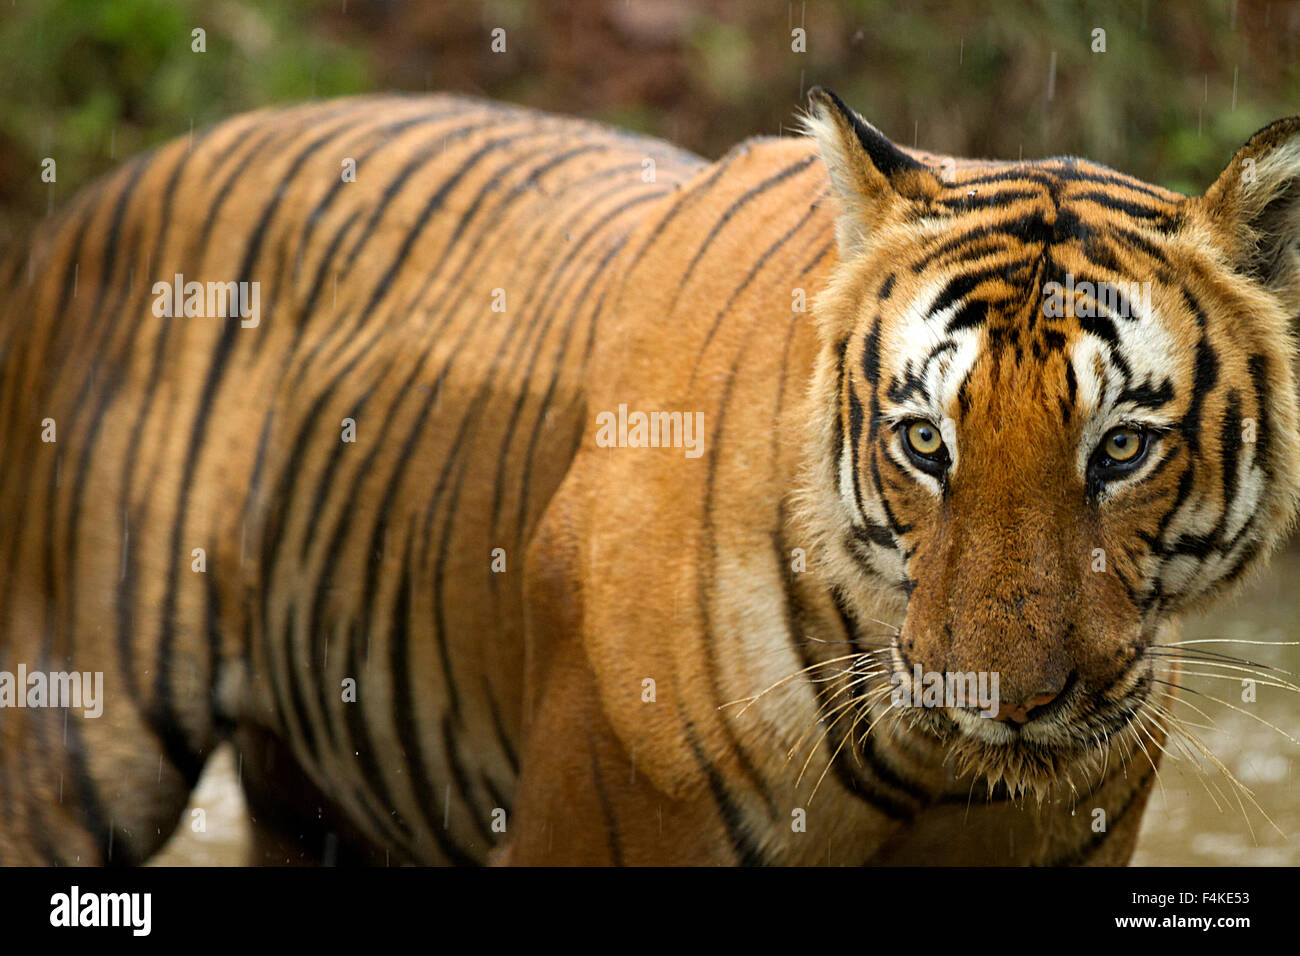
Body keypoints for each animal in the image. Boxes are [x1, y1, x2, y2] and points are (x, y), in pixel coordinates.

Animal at [0, 87, 1297, 866]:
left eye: (1119, 447)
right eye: (926, 441)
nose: (999, 700)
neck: (938, 775)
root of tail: (91, 199)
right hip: (74, 740)